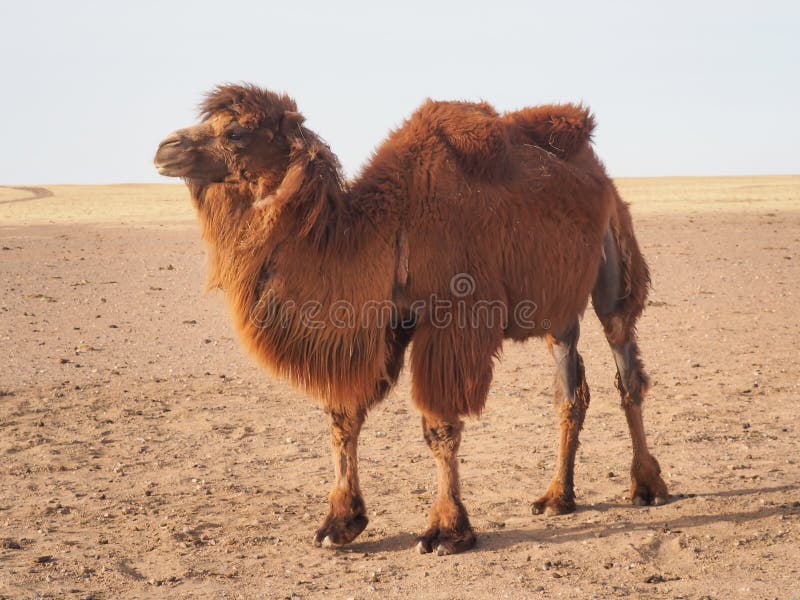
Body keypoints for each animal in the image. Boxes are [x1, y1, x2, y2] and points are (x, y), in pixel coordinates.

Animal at [154, 84, 668, 556]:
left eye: (235, 132)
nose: (164, 149)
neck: (385, 225)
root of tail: (598, 172)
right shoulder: (381, 326)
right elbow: (344, 417)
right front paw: (339, 523)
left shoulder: (453, 321)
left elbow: (440, 426)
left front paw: (446, 530)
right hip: (558, 304)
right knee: (570, 390)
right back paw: (557, 497)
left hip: (614, 258)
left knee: (626, 368)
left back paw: (647, 487)